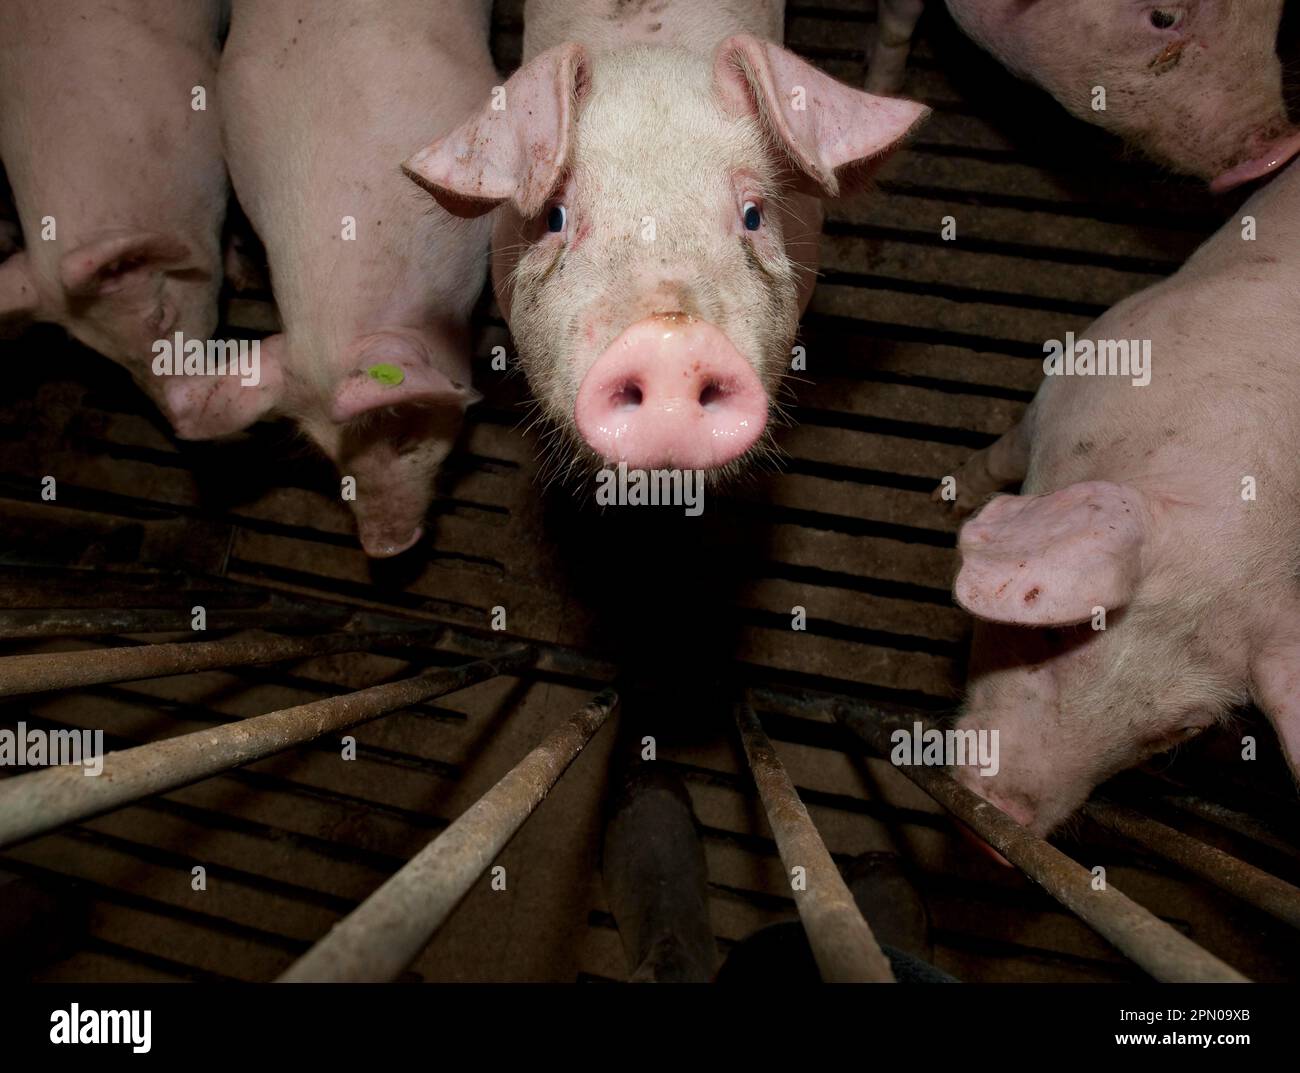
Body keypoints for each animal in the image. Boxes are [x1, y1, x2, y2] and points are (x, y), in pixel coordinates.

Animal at [939, 158, 1300, 836]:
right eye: (1053, 638)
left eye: (1176, 732)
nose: (1004, 820)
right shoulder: (1077, 369)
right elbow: (1004, 453)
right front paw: (949, 495)